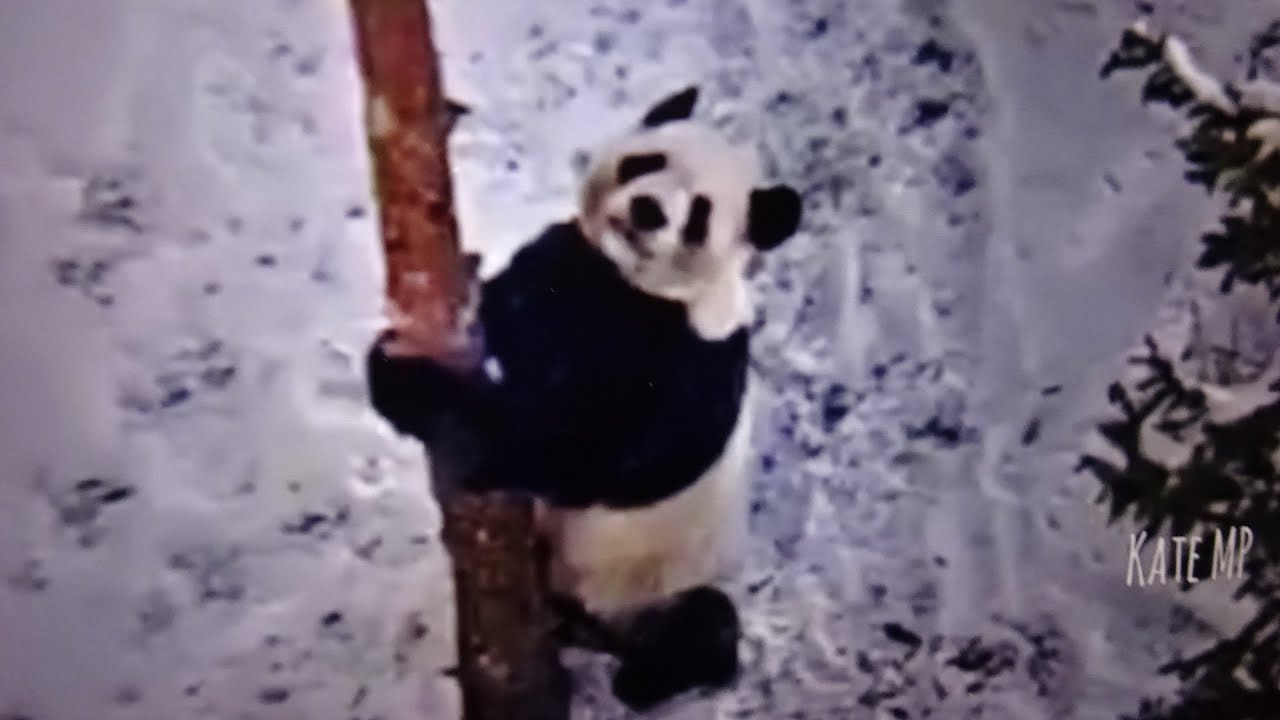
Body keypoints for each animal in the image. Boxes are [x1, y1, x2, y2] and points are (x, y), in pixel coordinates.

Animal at [366, 85, 803, 711]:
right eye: (646, 163)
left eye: (698, 214)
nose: (647, 210)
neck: (625, 281)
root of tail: (599, 632)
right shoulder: (564, 263)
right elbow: (511, 315)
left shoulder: (689, 355)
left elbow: (589, 455)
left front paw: (411, 389)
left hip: (662, 580)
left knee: (706, 623)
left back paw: (651, 680)